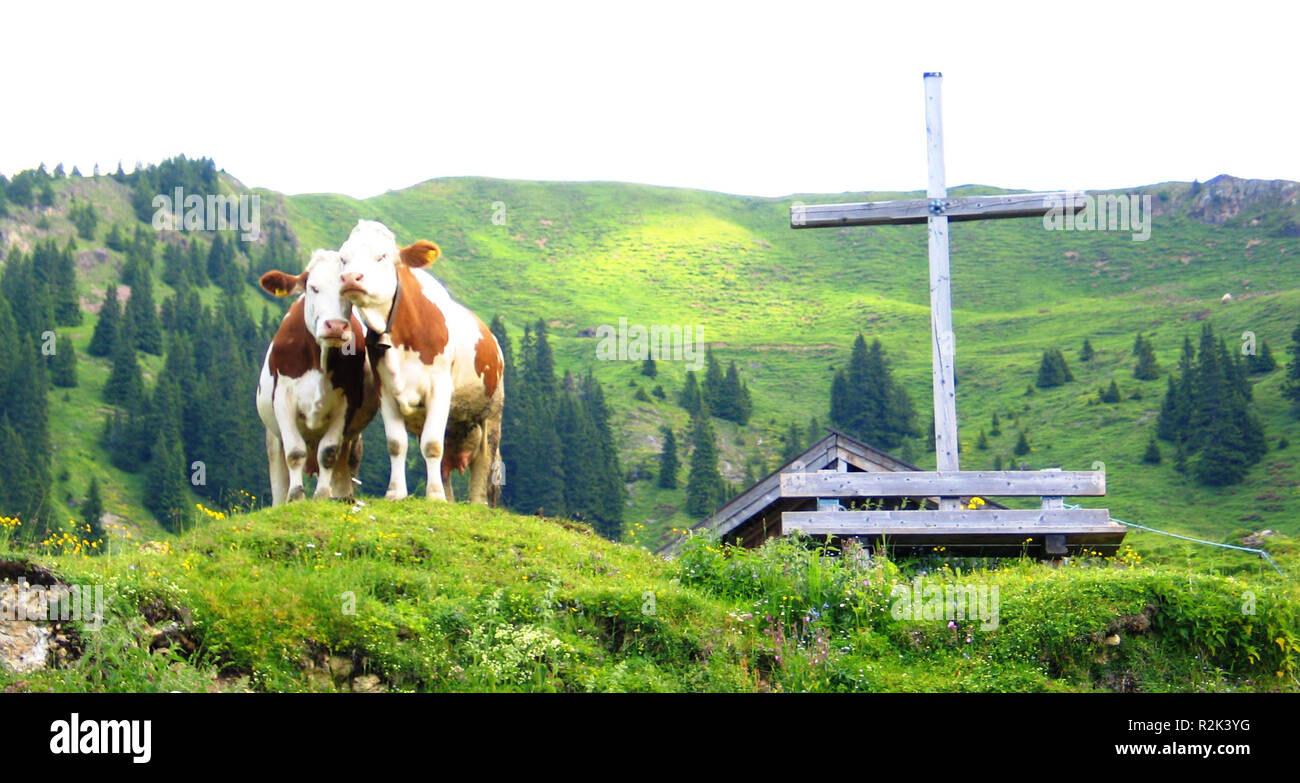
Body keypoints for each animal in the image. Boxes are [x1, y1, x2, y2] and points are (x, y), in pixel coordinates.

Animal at [256, 249, 379, 505]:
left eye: (348, 293)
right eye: (313, 288)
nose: (335, 326)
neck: (318, 358)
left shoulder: (346, 404)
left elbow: (328, 453)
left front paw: (322, 494)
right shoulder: (283, 400)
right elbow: (294, 453)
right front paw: (296, 496)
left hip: (354, 440)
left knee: (344, 462)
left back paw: (342, 496)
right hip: (272, 436)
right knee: (279, 468)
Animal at [336, 220, 504, 505]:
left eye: (382, 256)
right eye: (343, 258)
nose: (350, 278)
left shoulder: (439, 389)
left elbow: (432, 445)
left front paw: (434, 496)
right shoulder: (385, 392)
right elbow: (397, 444)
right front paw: (396, 493)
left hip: (492, 411)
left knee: (484, 460)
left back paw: (478, 503)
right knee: (446, 461)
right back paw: (449, 497)